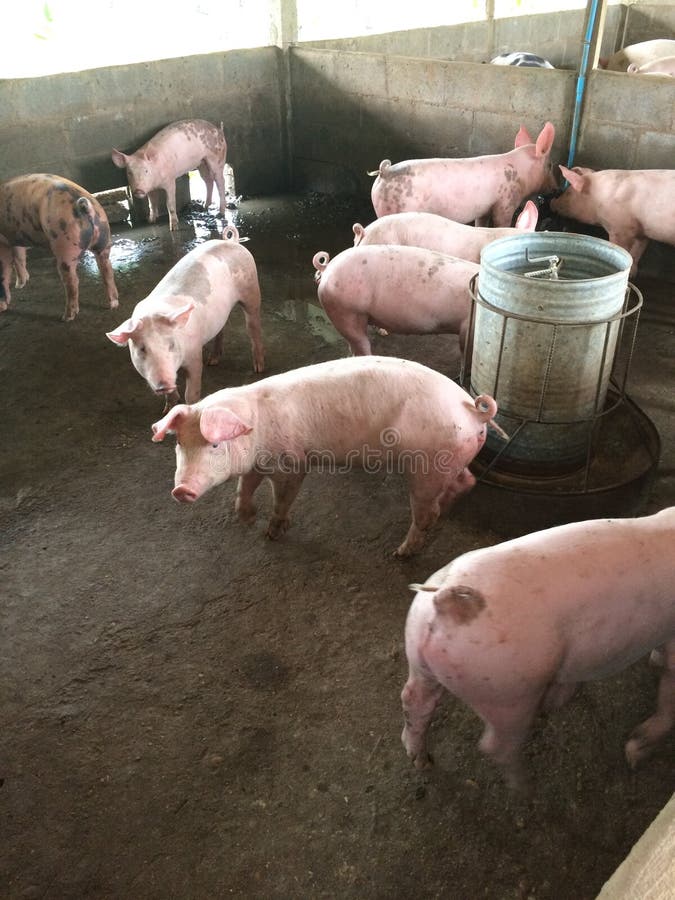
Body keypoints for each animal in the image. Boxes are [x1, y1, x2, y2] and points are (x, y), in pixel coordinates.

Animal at [0, 174, 119, 321]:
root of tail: (84, 205)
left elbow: (4, 272)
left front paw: (2, 306)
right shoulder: (15, 237)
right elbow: (19, 258)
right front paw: (20, 284)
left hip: (65, 244)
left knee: (72, 281)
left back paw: (66, 317)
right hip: (103, 238)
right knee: (107, 271)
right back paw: (113, 304)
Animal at [106, 226, 264, 407]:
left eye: (171, 345)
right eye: (142, 349)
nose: (164, 384)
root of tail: (232, 242)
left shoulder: (194, 353)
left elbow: (192, 392)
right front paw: (167, 408)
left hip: (251, 288)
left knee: (253, 326)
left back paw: (258, 367)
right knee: (221, 328)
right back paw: (212, 361)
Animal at [150, 355, 502, 557]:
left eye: (214, 445)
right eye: (180, 444)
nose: (180, 490)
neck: (256, 426)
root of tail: (472, 411)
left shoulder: (293, 461)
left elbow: (283, 495)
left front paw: (272, 533)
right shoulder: (257, 462)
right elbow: (244, 487)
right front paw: (247, 518)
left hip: (426, 465)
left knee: (427, 513)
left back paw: (400, 553)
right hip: (448, 459)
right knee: (464, 481)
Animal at [369, 121, 556, 227]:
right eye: (550, 165)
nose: (558, 189)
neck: (521, 174)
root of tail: (385, 172)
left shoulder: (484, 208)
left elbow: (481, 224)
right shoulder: (506, 201)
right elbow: (501, 223)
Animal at [401, 508, 675, 790]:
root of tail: (447, 598)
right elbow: (669, 696)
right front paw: (633, 752)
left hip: (420, 651)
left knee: (415, 701)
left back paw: (422, 760)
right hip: (509, 690)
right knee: (495, 745)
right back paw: (524, 786)